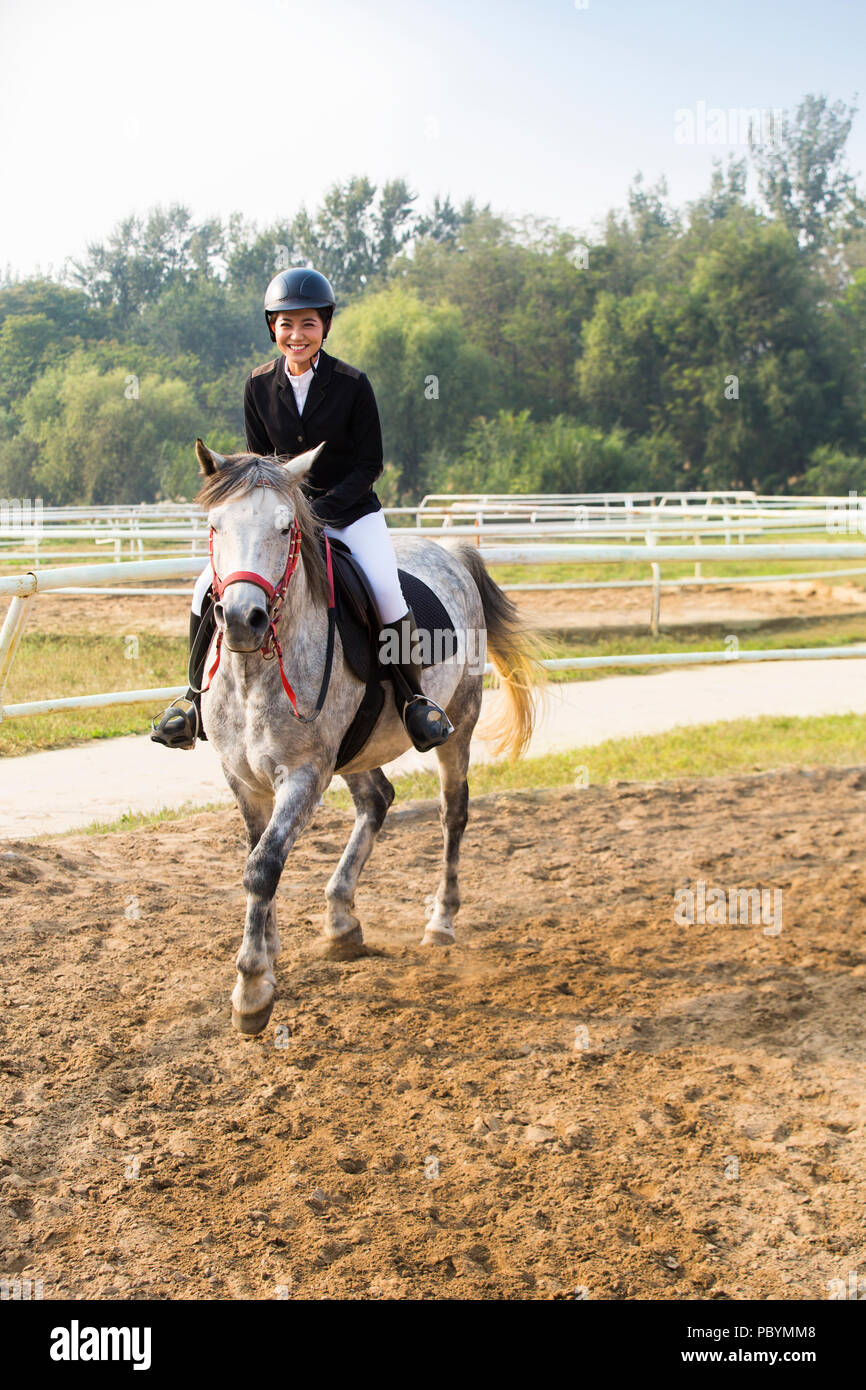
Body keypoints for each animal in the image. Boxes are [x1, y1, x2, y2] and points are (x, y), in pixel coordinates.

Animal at [193, 439, 546, 1034]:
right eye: (216, 526)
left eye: (286, 528)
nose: (242, 619)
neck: (255, 674)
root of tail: (452, 552)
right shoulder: (241, 777)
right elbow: (257, 856)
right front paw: (269, 951)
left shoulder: (304, 775)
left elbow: (262, 866)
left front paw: (252, 989)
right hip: (354, 753)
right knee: (377, 800)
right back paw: (341, 919)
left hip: (457, 724)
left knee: (453, 814)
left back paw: (440, 922)